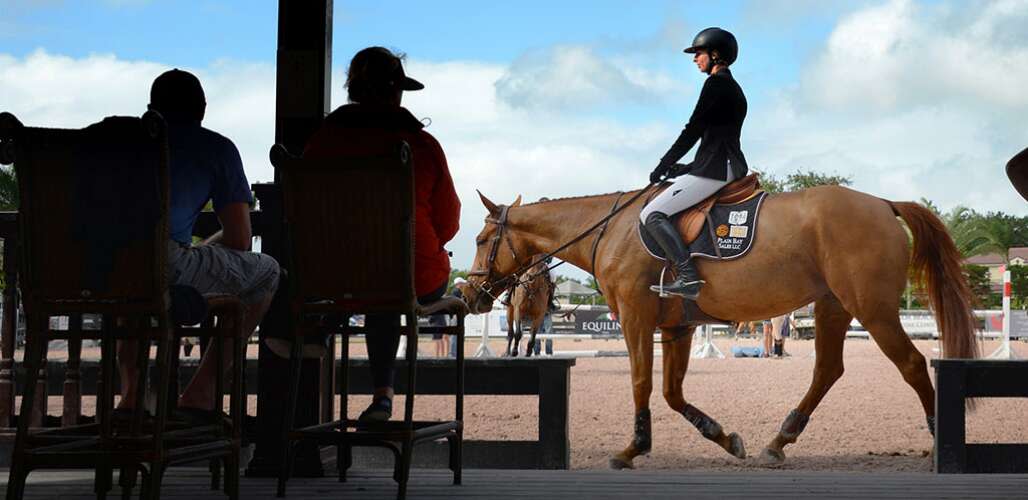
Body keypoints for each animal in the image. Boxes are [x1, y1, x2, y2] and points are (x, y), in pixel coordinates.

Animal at [463, 184, 978, 469]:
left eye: (483, 239)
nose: (470, 296)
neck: (613, 229)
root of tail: (883, 203)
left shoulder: (636, 316)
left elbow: (641, 381)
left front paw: (632, 448)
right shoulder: (678, 327)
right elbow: (671, 391)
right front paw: (725, 438)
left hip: (872, 309)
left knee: (911, 364)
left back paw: (938, 444)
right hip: (834, 306)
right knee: (828, 370)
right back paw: (778, 442)